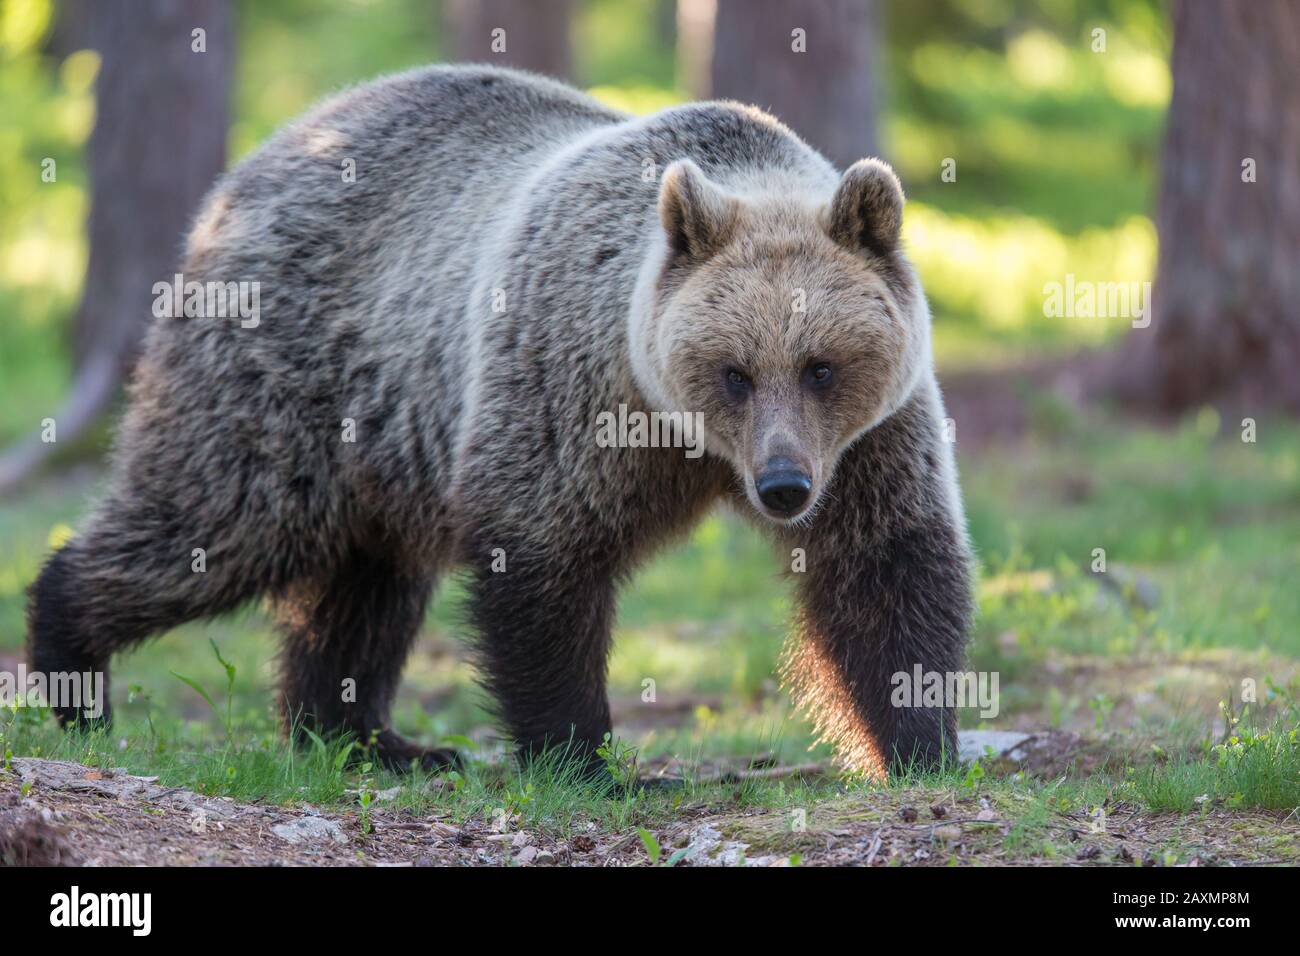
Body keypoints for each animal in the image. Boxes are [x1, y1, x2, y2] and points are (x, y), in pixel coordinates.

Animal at [27, 65, 973, 781]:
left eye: (821, 365)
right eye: (734, 372)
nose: (782, 487)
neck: (687, 441)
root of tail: (259, 157)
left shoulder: (870, 441)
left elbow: (884, 563)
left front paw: (919, 747)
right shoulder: (566, 394)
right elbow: (544, 565)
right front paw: (583, 761)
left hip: (384, 443)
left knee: (362, 586)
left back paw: (371, 739)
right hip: (284, 379)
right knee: (212, 523)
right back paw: (70, 666)